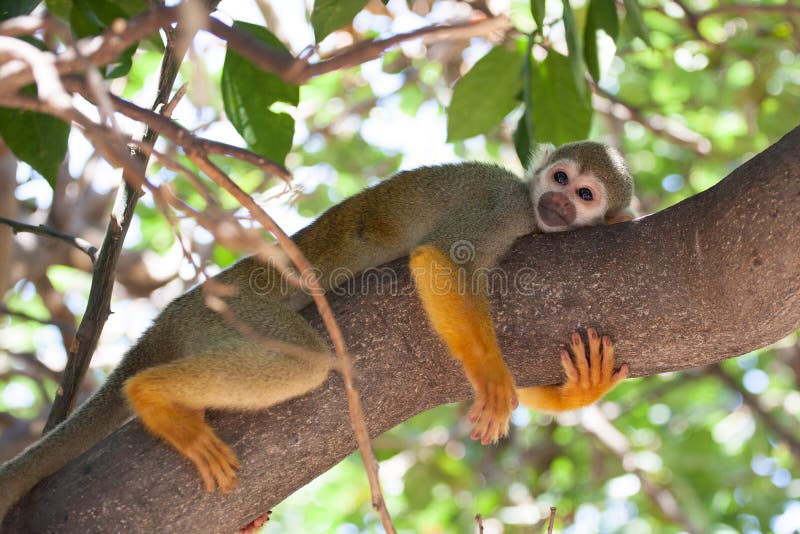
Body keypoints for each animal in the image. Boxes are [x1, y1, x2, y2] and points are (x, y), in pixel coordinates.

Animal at [0, 140, 634, 518]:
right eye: (558, 178)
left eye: (585, 194)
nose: (557, 203)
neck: (531, 213)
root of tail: (171, 316)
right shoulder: (503, 207)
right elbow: (439, 262)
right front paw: (492, 378)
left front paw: (581, 386)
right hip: (231, 312)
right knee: (301, 362)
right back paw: (150, 395)